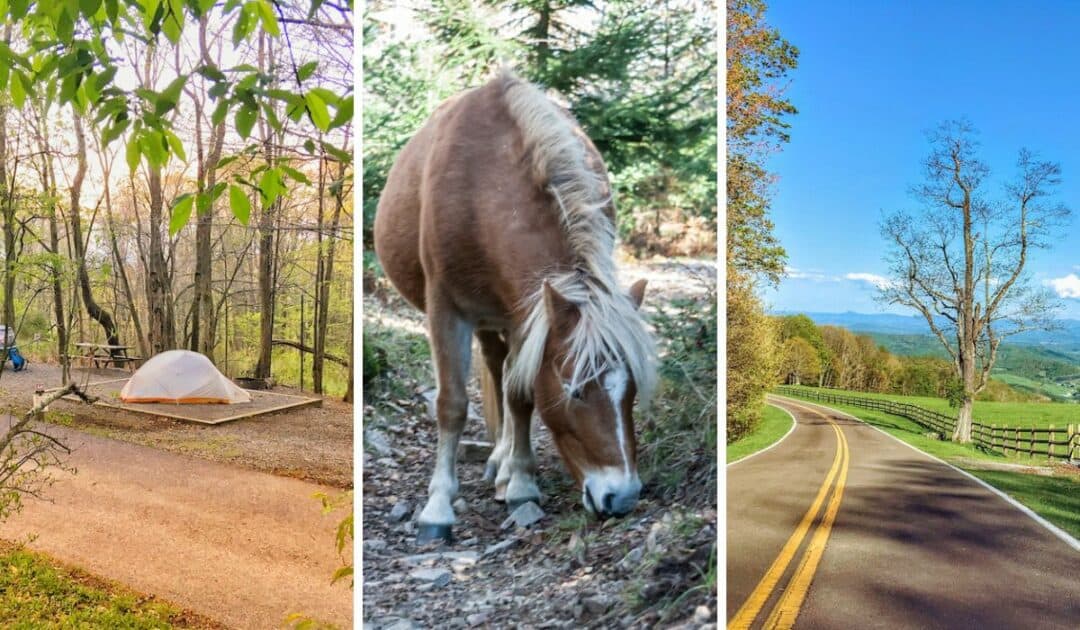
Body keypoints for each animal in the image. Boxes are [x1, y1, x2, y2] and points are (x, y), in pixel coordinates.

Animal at [374, 70, 657, 544]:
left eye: (632, 392)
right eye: (575, 391)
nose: (622, 497)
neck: (483, 184)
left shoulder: (529, 313)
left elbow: (521, 394)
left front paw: (522, 482)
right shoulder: (445, 308)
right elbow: (452, 404)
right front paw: (437, 507)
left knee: (505, 375)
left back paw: (504, 467)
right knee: (493, 366)